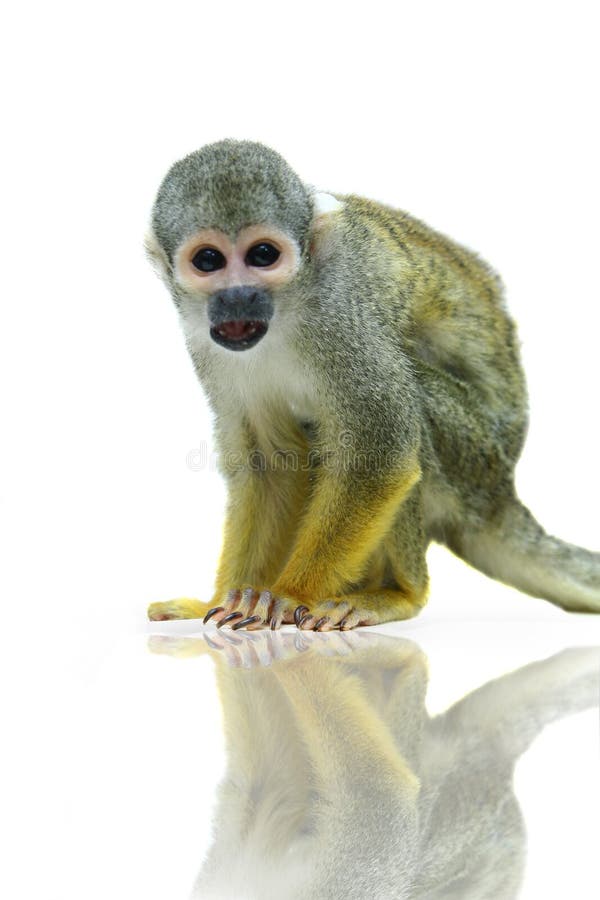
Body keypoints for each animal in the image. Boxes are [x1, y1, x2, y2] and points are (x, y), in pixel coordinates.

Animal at [145, 139, 600, 630]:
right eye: (208, 260)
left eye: (263, 255)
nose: (237, 297)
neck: (288, 311)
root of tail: (503, 492)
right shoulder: (207, 345)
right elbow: (273, 464)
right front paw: (223, 599)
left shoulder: (341, 317)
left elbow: (381, 454)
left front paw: (287, 594)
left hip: (476, 459)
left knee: (414, 396)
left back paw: (399, 593)